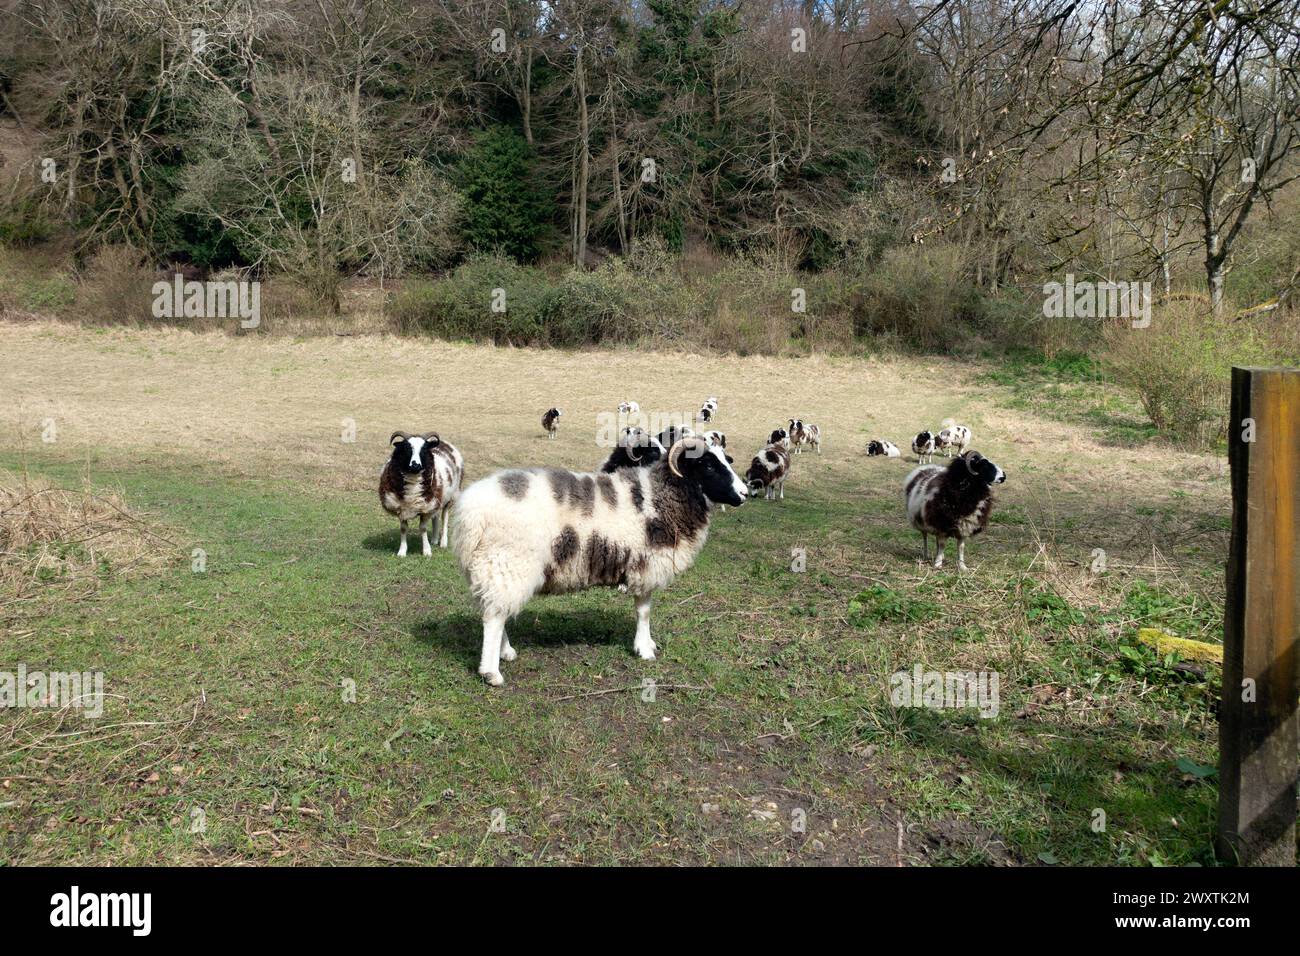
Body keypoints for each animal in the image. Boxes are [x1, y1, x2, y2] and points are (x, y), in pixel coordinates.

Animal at [452, 436, 749, 685]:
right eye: (707, 465)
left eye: (726, 460)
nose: (745, 493)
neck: (660, 496)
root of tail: (469, 514)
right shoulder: (645, 566)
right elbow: (644, 612)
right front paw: (644, 649)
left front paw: (649, 644)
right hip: (507, 562)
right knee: (494, 617)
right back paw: (491, 673)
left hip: (494, 569)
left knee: (496, 611)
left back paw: (506, 652)